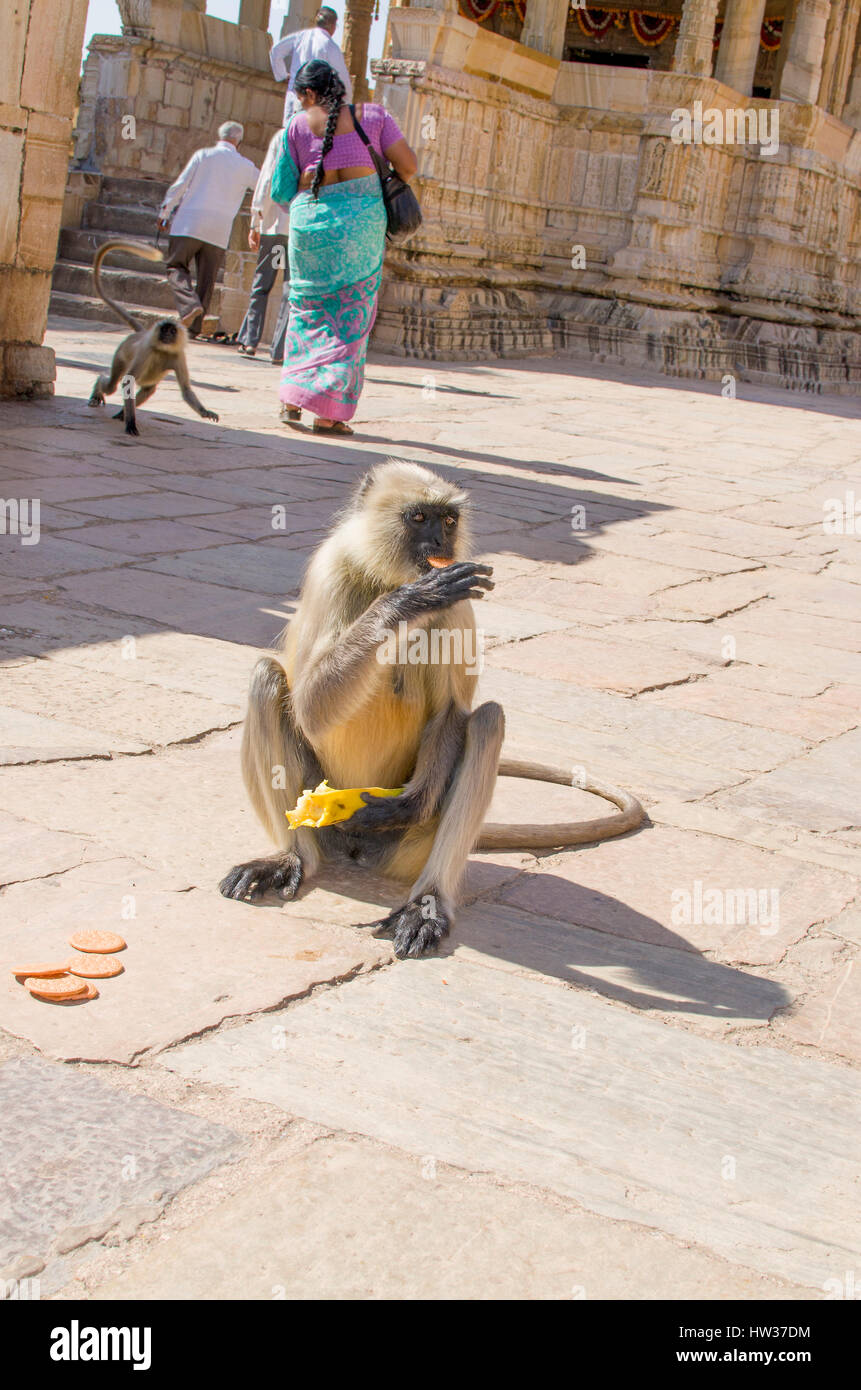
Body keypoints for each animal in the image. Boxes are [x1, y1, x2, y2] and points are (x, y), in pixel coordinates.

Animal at [87, 240, 218, 436]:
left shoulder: (178, 355)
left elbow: (186, 390)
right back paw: (102, 394)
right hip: (121, 355)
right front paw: (131, 423)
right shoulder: (147, 351)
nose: (165, 335)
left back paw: (122, 412)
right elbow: (128, 381)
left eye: (172, 331)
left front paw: (205, 412)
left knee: (149, 389)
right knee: (112, 385)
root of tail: (141, 333)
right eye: (163, 330)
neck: (163, 350)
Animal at [219, 460, 644, 959]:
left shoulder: (460, 603)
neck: (390, 576)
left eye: (449, 520)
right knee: (267, 678)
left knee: (487, 720)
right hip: (320, 815)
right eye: (420, 518)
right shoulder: (332, 571)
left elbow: (450, 713)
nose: (440, 543)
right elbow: (309, 708)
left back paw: (427, 905)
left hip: (408, 846)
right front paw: (408, 604)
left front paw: (403, 808)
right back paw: (291, 857)